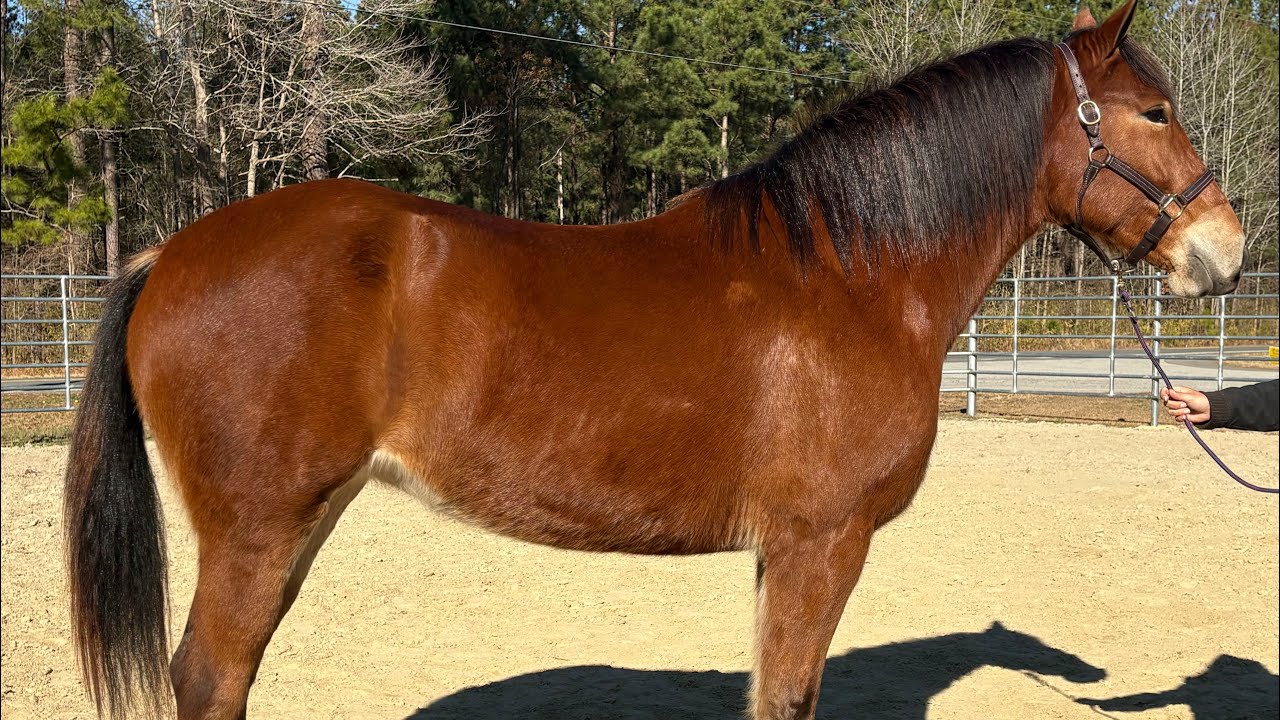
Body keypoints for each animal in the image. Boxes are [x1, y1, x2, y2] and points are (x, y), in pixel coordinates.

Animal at [63, 2, 1245, 718]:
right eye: (1152, 111)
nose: (1226, 251)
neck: (850, 274)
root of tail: (172, 253)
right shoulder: (823, 544)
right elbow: (789, 696)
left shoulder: (783, 552)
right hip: (260, 528)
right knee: (209, 677)